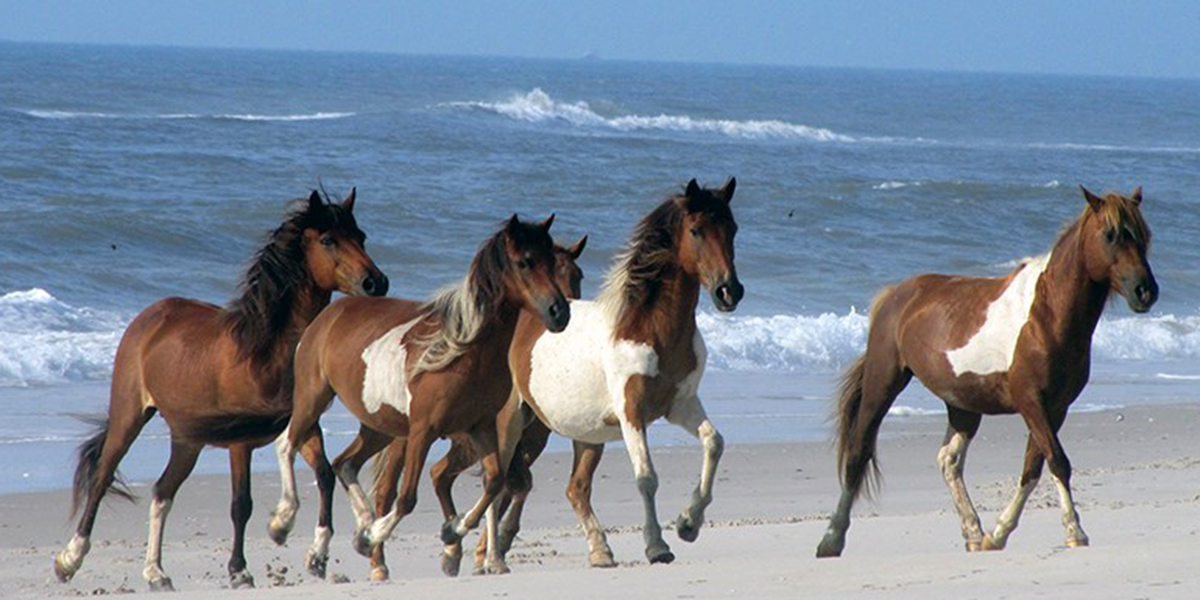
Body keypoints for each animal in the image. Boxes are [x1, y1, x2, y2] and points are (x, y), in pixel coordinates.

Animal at [54, 189, 388, 590]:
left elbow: (324, 475)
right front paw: (243, 566)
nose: (376, 283)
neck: (265, 351)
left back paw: (156, 573)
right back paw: (69, 560)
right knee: (103, 477)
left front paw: (314, 552)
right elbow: (241, 504)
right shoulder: (240, 441)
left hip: (187, 439)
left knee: (162, 492)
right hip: (129, 415)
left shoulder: (305, 424)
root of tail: (151, 315)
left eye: (361, 237)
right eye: (328, 240)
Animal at [270, 214, 570, 581]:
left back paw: (353, 531)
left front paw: (450, 534)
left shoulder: (480, 427)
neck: (465, 351)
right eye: (525, 262)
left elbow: (494, 481)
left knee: (344, 464)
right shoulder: (422, 431)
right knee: (288, 444)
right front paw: (374, 537)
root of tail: (327, 315)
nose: (559, 313)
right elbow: (407, 497)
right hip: (314, 398)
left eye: (551, 262)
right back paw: (287, 525)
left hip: (379, 426)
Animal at [458, 178, 741, 570]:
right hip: (511, 421)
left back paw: (598, 551)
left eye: (732, 229)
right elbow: (646, 477)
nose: (729, 291)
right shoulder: (631, 413)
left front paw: (688, 523)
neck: (647, 331)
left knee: (573, 487)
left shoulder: (682, 404)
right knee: (495, 480)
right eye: (696, 230)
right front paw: (657, 546)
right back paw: (493, 559)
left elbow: (714, 443)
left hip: (584, 434)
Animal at [816, 186, 1157, 558]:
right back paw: (831, 539)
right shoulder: (1031, 402)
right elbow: (1057, 461)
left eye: (1144, 236)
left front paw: (998, 534)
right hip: (883, 383)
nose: (1145, 291)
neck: (1046, 315)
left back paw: (973, 533)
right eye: (1110, 235)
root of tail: (894, 295)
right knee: (859, 452)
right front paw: (1075, 531)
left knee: (948, 461)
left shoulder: (1056, 408)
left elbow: (1033, 467)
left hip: (963, 404)